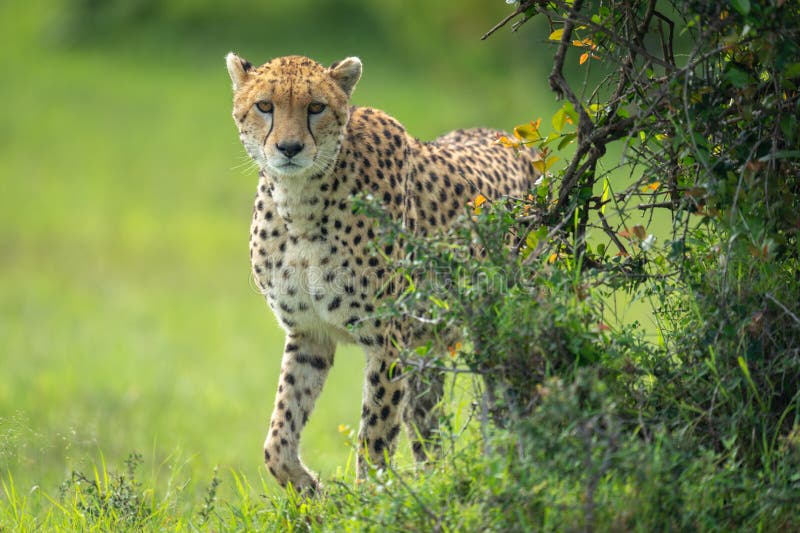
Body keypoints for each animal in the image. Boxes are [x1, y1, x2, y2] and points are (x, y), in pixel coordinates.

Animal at [225, 52, 537, 492]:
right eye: (264, 106)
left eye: (316, 107)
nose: (289, 148)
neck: (301, 203)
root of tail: (511, 137)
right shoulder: (309, 334)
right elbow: (278, 438)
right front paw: (311, 489)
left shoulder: (388, 340)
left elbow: (374, 436)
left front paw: (370, 497)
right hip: (429, 346)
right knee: (426, 421)